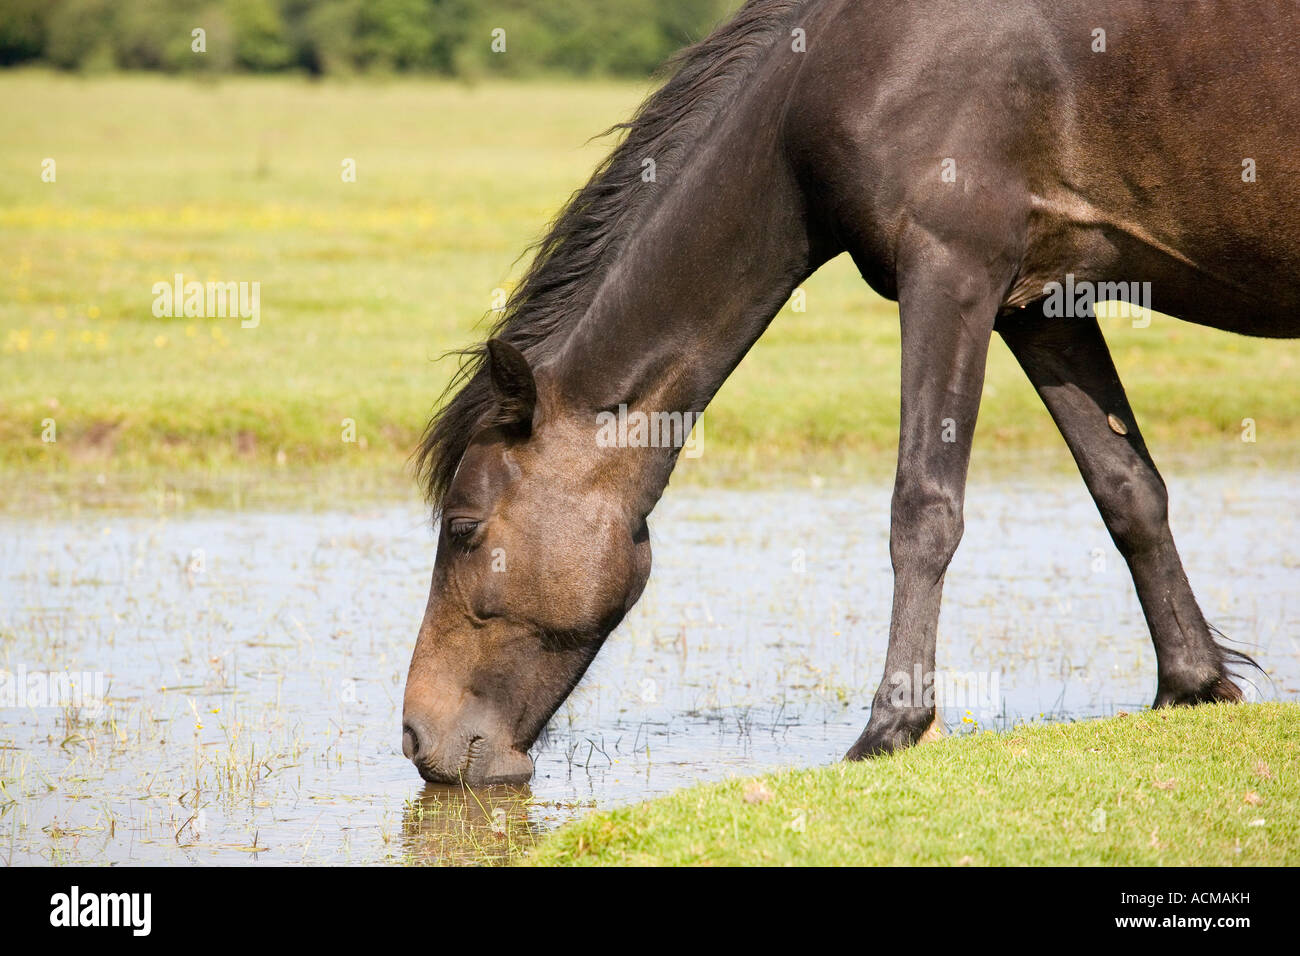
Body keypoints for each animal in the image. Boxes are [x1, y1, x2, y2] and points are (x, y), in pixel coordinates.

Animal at [401, 0, 1296, 785]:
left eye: (466, 528)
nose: (416, 737)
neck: (840, 68)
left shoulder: (952, 269)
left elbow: (922, 509)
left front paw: (891, 728)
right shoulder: (1041, 302)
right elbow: (1126, 488)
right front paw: (1191, 684)